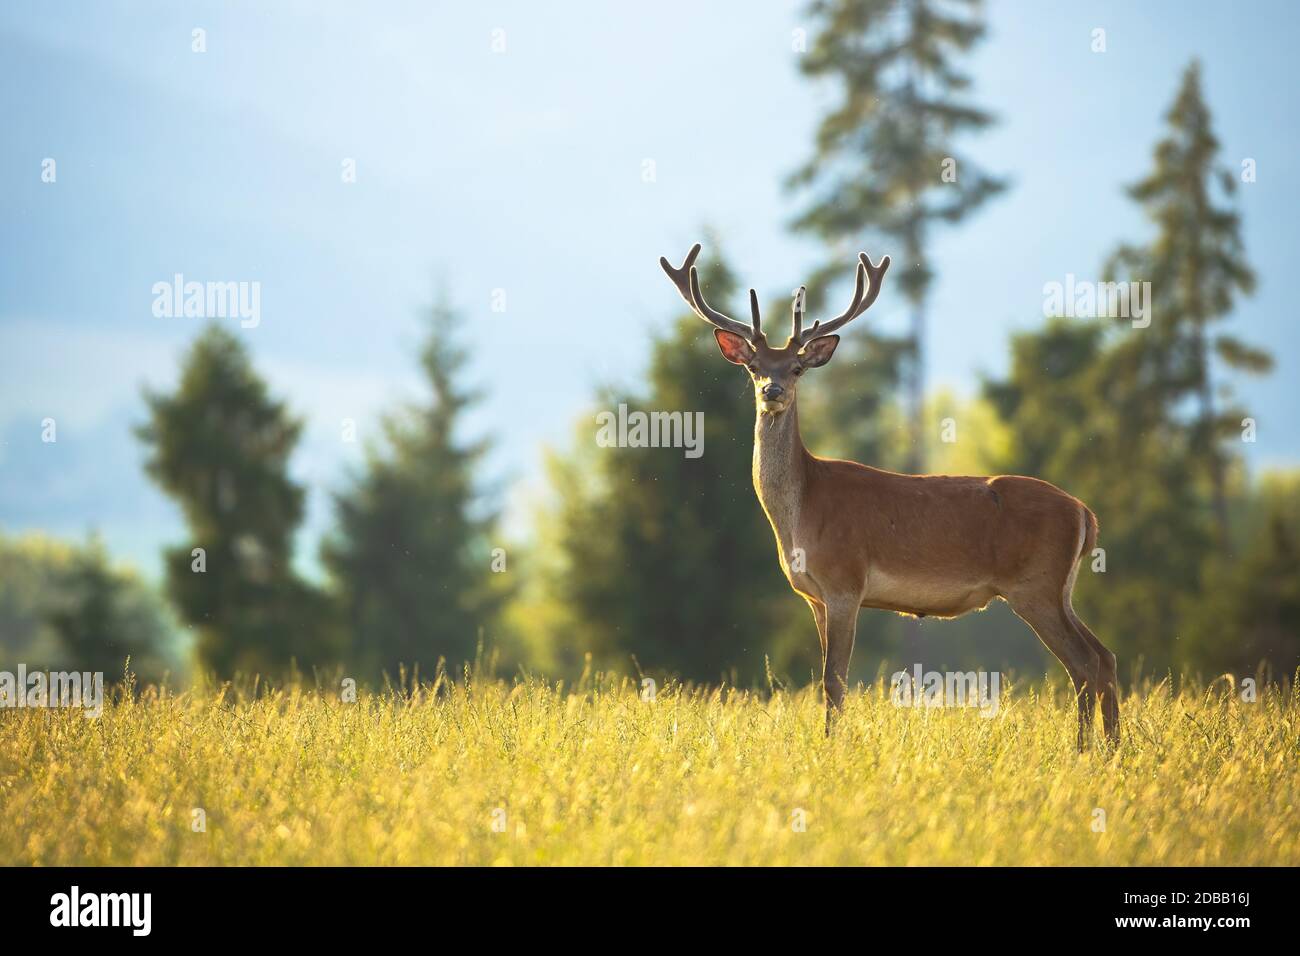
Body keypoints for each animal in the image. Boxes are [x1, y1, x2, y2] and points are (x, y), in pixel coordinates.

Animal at [660, 243, 1120, 749]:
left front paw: (832, 746)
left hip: (1034, 584)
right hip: (1061, 588)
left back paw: (1085, 749)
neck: (800, 513)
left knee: (1083, 662)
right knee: (1105, 656)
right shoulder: (813, 597)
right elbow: (826, 677)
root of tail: (1085, 512)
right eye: (754, 367)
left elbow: (834, 679)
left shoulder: (845, 581)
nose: (773, 391)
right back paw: (1113, 748)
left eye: (797, 368)